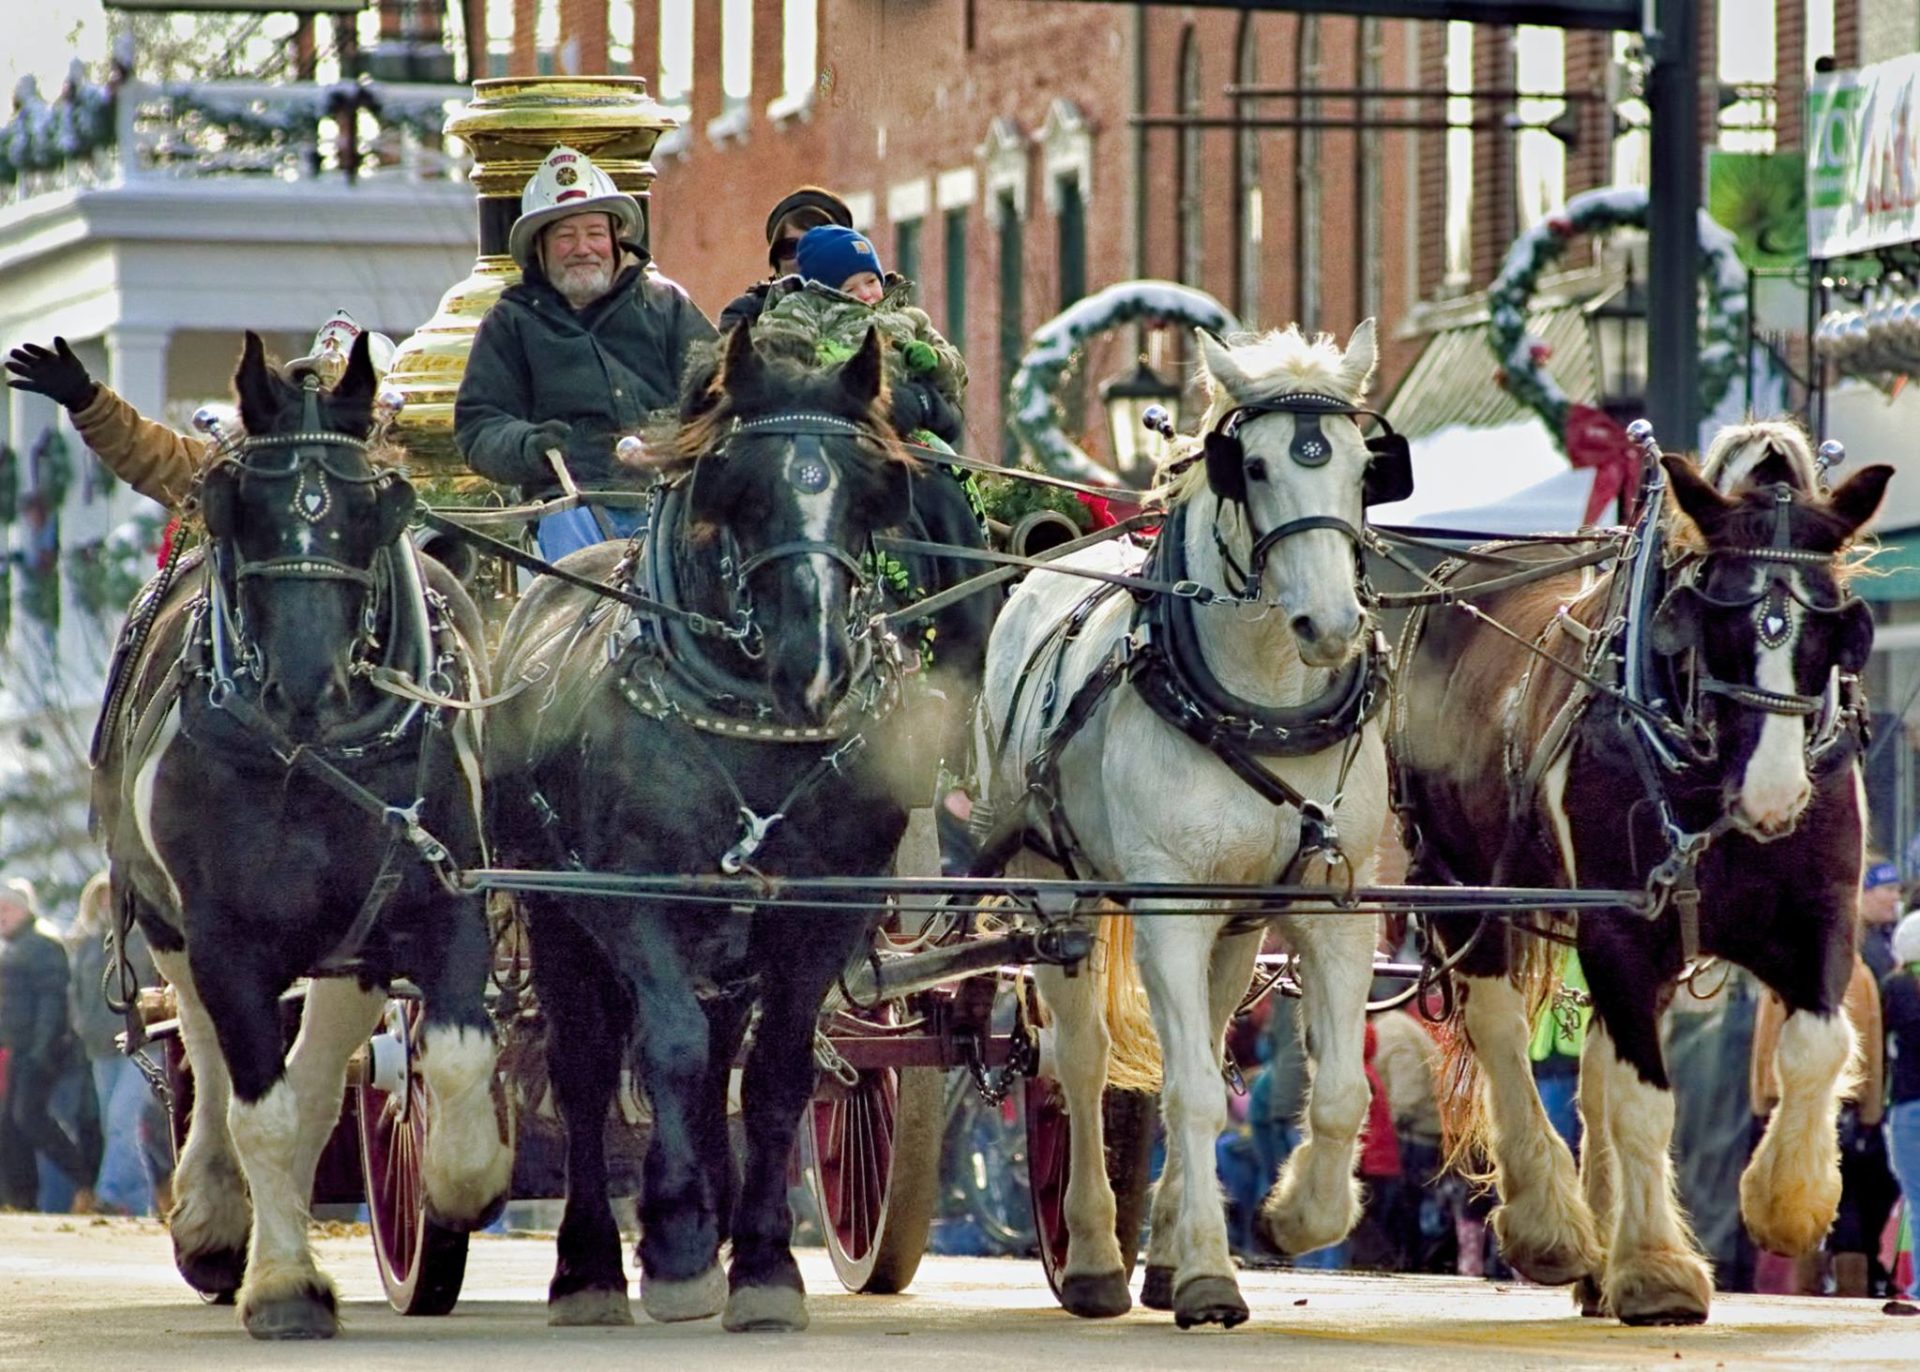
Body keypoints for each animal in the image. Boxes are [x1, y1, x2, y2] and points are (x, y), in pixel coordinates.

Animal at [89, 332, 511, 1339]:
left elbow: (455, 1056)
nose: (308, 683)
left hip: (350, 945)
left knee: (324, 1074)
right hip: (170, 928)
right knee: (211, 1059)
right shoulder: (228, 937)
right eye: (247, 504)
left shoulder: (444, 898)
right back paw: (213, 1219)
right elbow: (260, 1109)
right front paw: (282, 1284)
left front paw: (462, 1182)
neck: (318, 753)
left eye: (367, 506)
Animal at [486, 323, 986, 1333]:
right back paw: (593, 1266)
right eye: (740, 489)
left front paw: (759, 1267)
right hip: (554, 912)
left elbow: (776, 1076)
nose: (819, 663)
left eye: (868, 492)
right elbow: (669, 1049)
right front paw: (676, 1250)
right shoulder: (633, 900)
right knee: (587, 1064)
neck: (755, 731)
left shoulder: (820, 915)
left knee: (720, 1054)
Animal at [976, 322, 1403, 1328]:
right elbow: (1195, 1098)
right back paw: (1096, 1253)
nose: (1330, 625)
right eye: (1253, 465)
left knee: (1202, 1040)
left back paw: (1163, 1250)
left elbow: (1338, 1089)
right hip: (1058, 892)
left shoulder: (1338, 906)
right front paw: (1213, 1273)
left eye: (1364, 467)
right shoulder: (1169, 907)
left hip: (1236, 925)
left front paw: (1294, 1217)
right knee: (1083, 1064)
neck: (1261, 702)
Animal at [1391, 421, 1892, 1324]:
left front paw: (1788, 1199)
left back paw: (1600, 1257)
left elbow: (1818, 1043)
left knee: (1589, 1069)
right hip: (1457, 887)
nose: (1774, 796)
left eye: (1835, 629)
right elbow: (1643, 1102)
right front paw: (1658, 1269)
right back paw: (1554, 1225)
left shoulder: (1818, 914)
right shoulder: (1620, 925)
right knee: (1502, 1031)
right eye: (1712, 621)